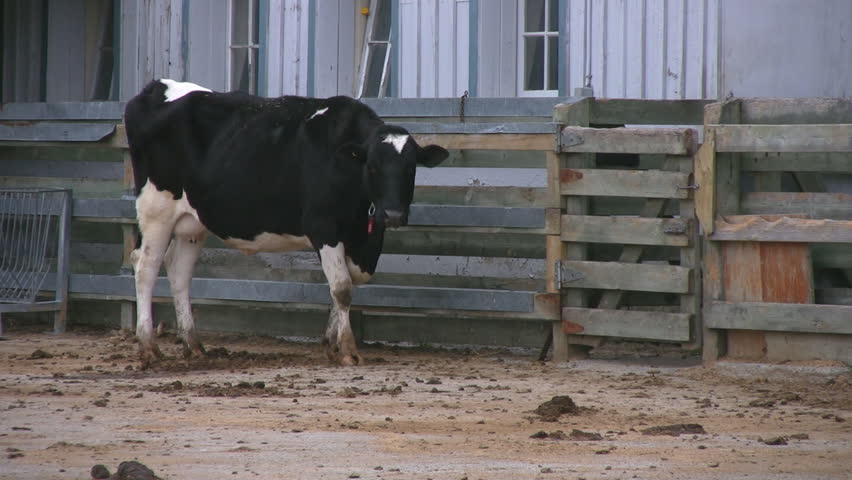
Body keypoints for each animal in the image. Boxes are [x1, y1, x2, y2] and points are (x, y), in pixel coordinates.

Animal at [123, 79, 448, 367]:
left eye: (410, 168)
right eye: (372, 166)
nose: (392, 215)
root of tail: (155, 87)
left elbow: (341, 286)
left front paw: (331, 344)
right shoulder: (323, 226)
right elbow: (342, 287)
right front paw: (347, 350)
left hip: (192, 223)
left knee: (179, 272)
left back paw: (194, 346)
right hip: (156, 211)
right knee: (145, 268)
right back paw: (148, 346)